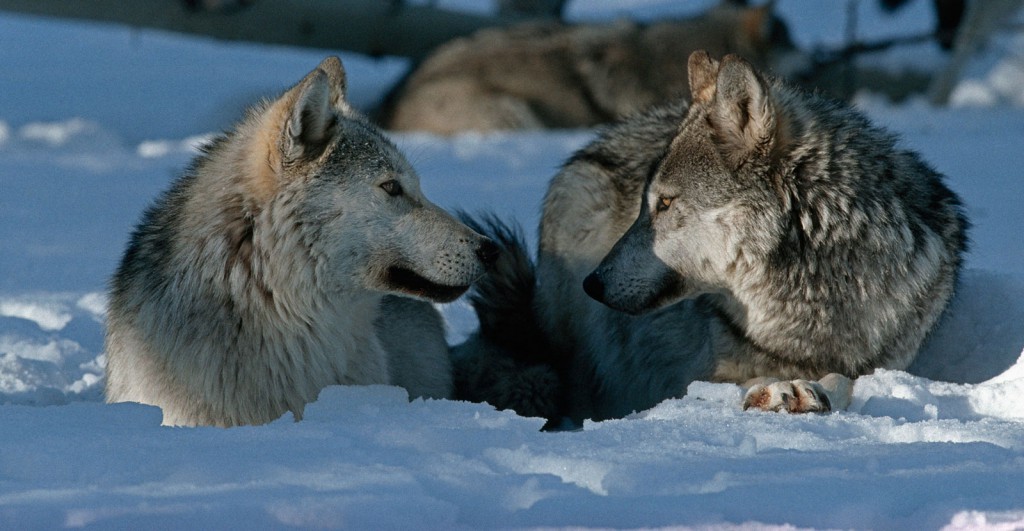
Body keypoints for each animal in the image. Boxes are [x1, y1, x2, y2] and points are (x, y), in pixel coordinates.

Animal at [456, 51, 967, 424]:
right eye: (644, 203)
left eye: (664, 204)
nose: (593, 283)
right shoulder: (700, 375)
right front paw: (775, 390)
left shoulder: (885, 360)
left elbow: (847, 381)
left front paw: (810, 388)